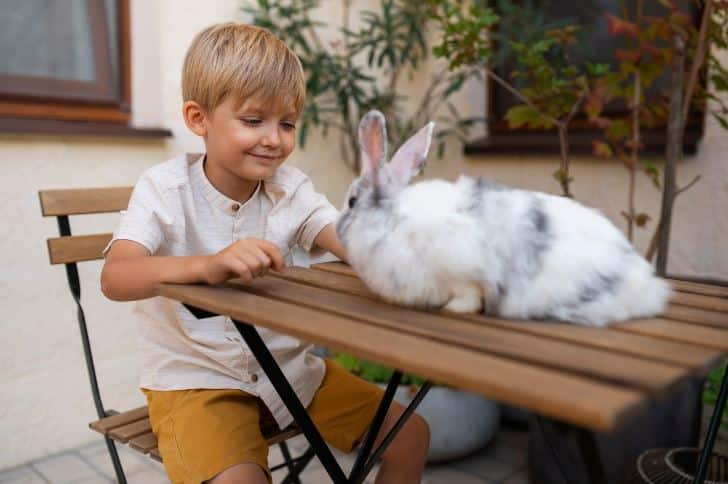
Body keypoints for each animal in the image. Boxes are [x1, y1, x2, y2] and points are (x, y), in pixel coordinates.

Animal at [335, 110, 671, 326]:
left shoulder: (460, 264)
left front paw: (455, 309)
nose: (337, 230)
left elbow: (470, 294)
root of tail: (648, 287)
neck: (390, 220)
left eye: (352, 202)